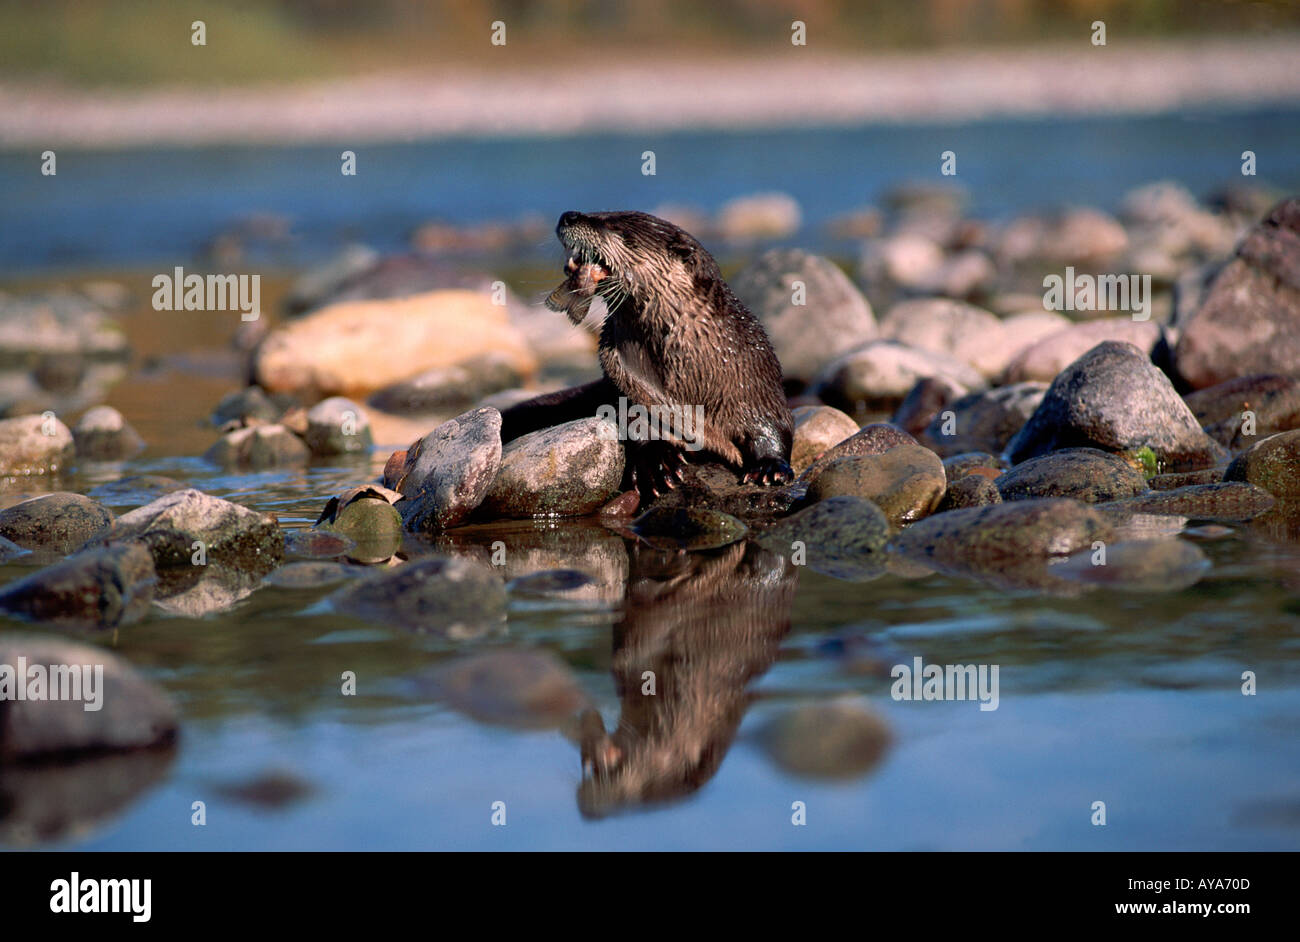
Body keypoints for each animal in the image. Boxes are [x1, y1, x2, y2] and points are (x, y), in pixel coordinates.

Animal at [500, 210, 794, 497]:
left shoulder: (754, 373)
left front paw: (769, 466)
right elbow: (634, 420)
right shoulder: (626, 384)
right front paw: (656, 461)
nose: (569, 215)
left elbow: (774, 423)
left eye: (615, 227)